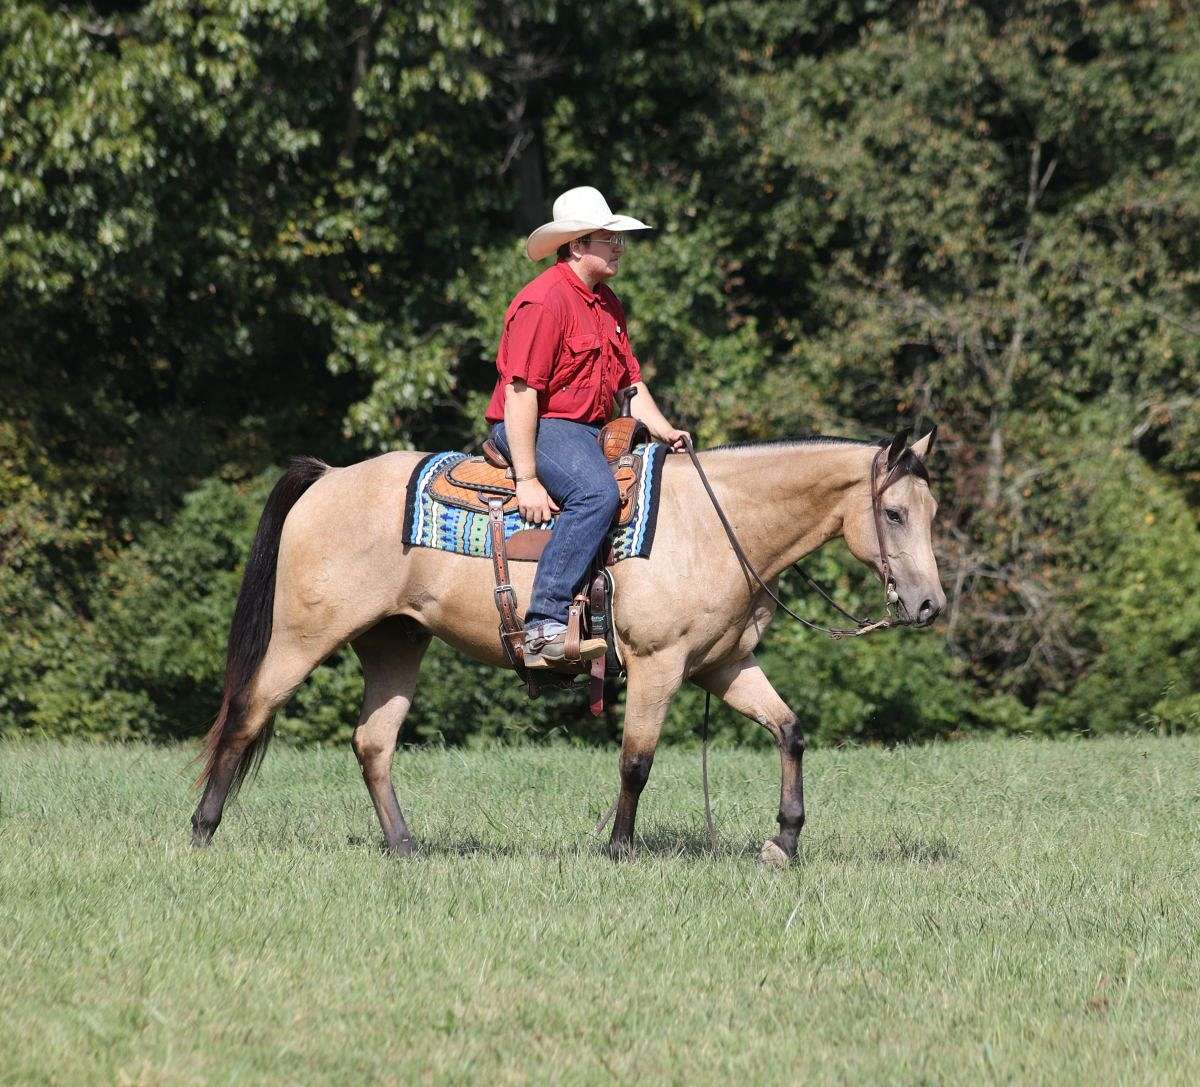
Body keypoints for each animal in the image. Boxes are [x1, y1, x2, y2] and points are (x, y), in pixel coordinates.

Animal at [191, 428, 945, 864]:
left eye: (931, 512)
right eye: (894, 512)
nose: (929, 604)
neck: (714, 523)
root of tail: (327, 476)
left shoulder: (723, 664)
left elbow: (790, 730)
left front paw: (784, 841)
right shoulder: (658, 663)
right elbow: (637, 761)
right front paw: (620, 849)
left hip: (395, 642)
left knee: (372, 742)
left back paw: (405, 849)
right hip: (302, 636)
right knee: (247, 715)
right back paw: (202, 830)